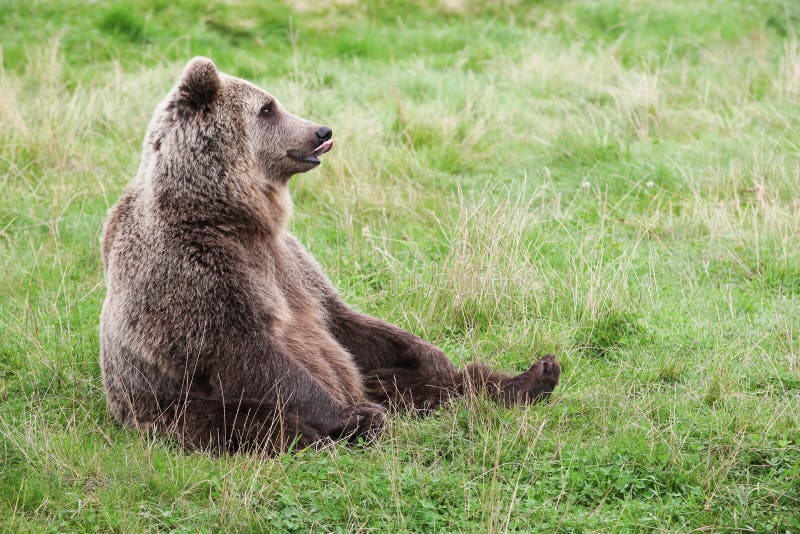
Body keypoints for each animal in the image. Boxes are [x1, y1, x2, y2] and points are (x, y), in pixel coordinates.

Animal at [99, 57, 560, 454]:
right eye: (267, 108)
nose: (321, 131)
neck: (229, 214)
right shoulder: (193, 268)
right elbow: (245, 351)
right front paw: (348, 417)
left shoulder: (291, 262)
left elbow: (341, 319)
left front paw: (433, 354)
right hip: (171, 410)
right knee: (248, 423)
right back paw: (350, 425)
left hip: (368, 376)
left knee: (429, 386)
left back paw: (534, 376)